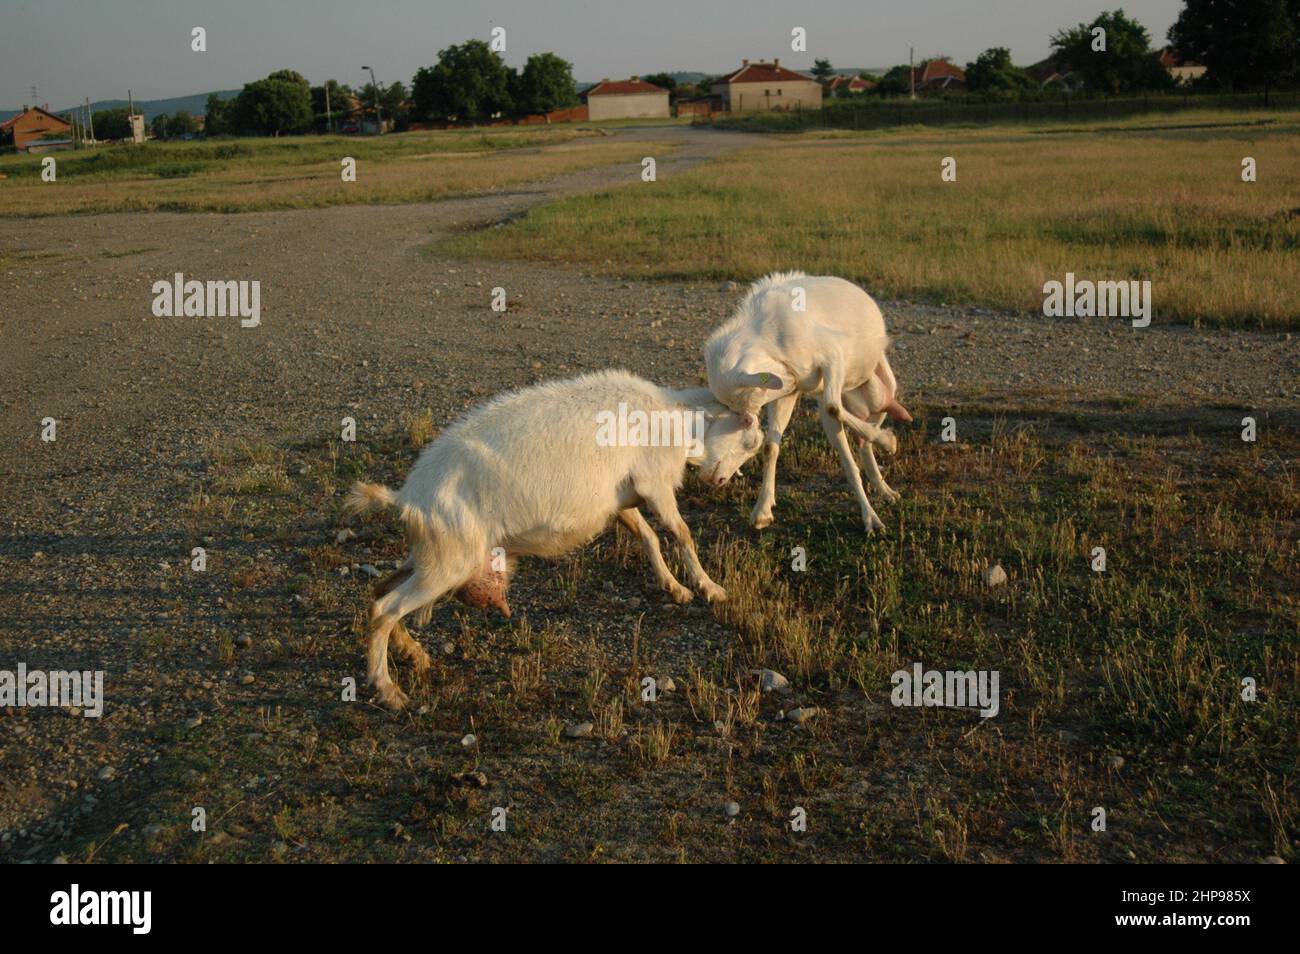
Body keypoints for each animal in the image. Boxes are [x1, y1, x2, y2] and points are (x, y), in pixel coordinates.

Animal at [347, 369, 762, 709]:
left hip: (429, 557)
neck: (670, 415)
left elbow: (648, 539)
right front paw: (711, 588)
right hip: (448, 561)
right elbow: (682, 535)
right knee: (385, 608)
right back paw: (389, 690)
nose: (720, 481)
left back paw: (414, 655)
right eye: (748, 441)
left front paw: (674, 587)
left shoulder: (617, 501)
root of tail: (406, 497)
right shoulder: (655, 484)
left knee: (379, 592)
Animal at [704, 272, 912, 533]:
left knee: (865, 419)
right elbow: (771, 447)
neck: (770, 337)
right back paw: (880, 489)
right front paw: (762, 511)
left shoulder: (832, 357)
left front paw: (889, 442)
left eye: (746, 421)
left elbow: (835, 407)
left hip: (878, 378)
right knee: (855, 436)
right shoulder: (788, 391)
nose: (713, 479)